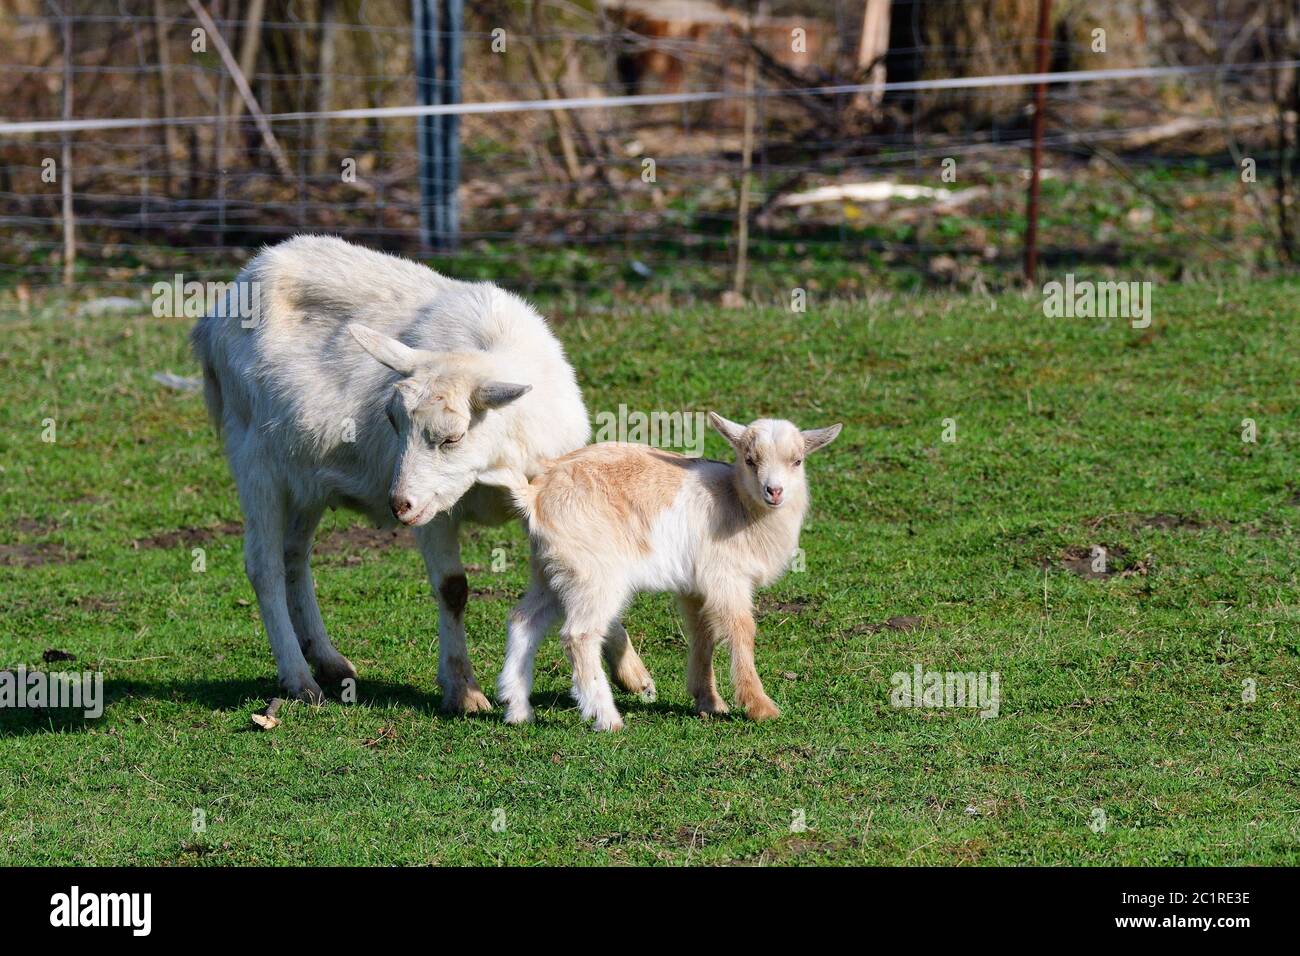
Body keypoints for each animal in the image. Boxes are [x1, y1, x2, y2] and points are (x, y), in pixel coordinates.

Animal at [190, 235, 655, 708]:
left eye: (453, 437)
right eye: (392, 421)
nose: (399, 505)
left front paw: (633, 674)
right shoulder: (436, 511)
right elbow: (453, 588)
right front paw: (464, 689)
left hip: (306, 476)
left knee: (293, 556)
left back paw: (329, 661)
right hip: (255, 458)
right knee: (263, 565)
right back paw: (299, 678)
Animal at [484, 412, 841, 730]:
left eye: (797, 461)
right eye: (750, 460)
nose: (774, 491)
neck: (737, 504)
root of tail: (534, 496)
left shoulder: (696, 587)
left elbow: (703, 634)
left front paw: (709, 702)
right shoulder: (727, 578)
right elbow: (741, 630)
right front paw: (760, 707)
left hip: (552, 570)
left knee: (524, 621)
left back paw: (518, 710)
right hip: (594, 574)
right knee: (579, 635)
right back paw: (607, 718)